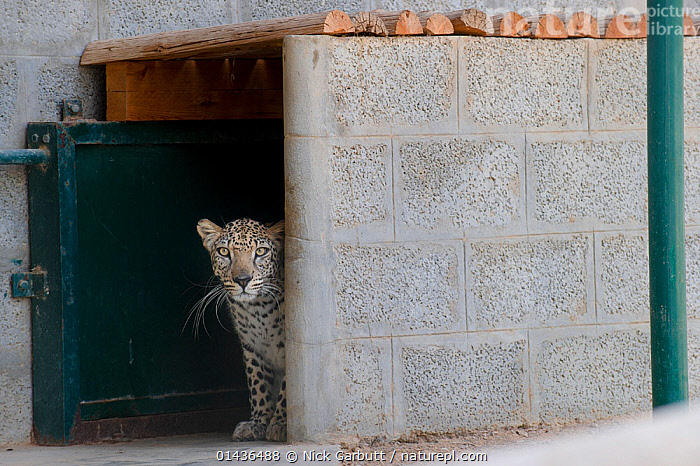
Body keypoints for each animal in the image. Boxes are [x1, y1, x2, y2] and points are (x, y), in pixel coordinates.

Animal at [196, 217, 286, 442]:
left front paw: (280, 423)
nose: (243, 279)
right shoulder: (251, 345)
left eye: (261, 251)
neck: (258, 308)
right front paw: (257, 422)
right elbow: (257, 383)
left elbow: (287, 387)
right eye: (224, 252)